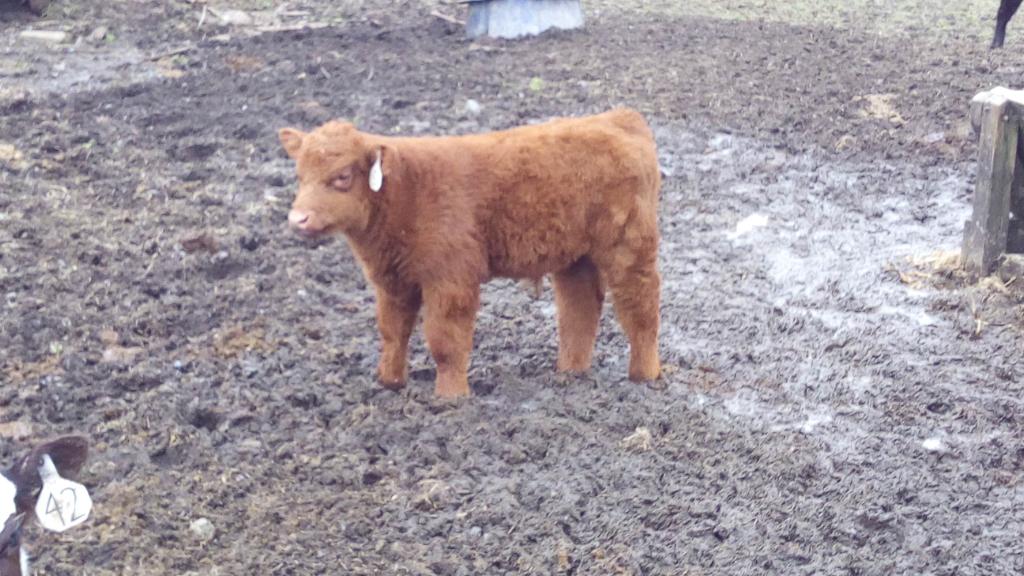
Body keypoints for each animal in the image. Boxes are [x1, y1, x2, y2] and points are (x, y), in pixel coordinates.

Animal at [279, 108, 662, 398]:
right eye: (299, 175)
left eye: (342, 176)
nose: (298, 219)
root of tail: (616, 117)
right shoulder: (392, 282)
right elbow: (392, 331)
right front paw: (389, 382)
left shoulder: (450, 278)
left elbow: (445, 340)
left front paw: (450, 397)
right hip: (575, 256)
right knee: (579, 309)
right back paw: (570, 372)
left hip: (629, 246)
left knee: (641, 305)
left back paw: (644, 375)